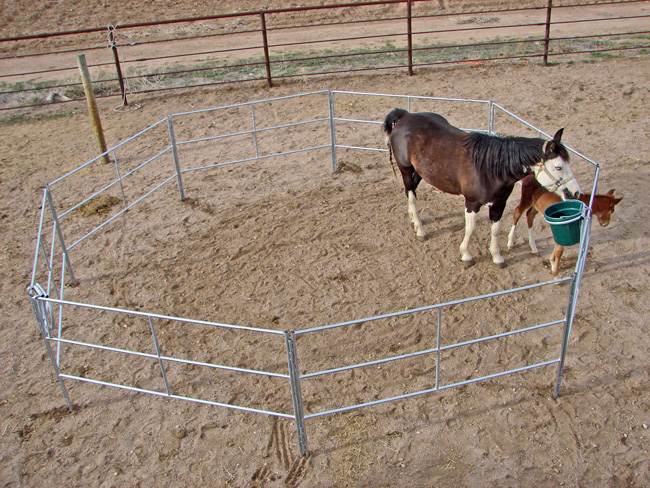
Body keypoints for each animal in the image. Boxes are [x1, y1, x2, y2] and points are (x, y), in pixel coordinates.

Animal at [382, 108, 581, 267]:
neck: (489, 167)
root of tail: (405, 116)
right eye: (558, 167)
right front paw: (466, 255)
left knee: (411, 192)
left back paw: (413, 220)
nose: (575, 192)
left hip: (420, 172)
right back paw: (420, 228)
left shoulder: (499, 204)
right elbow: (470, 229)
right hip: (406, 169)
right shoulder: (472, 203)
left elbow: (496, 230)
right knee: (410, 192)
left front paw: (497, 257)